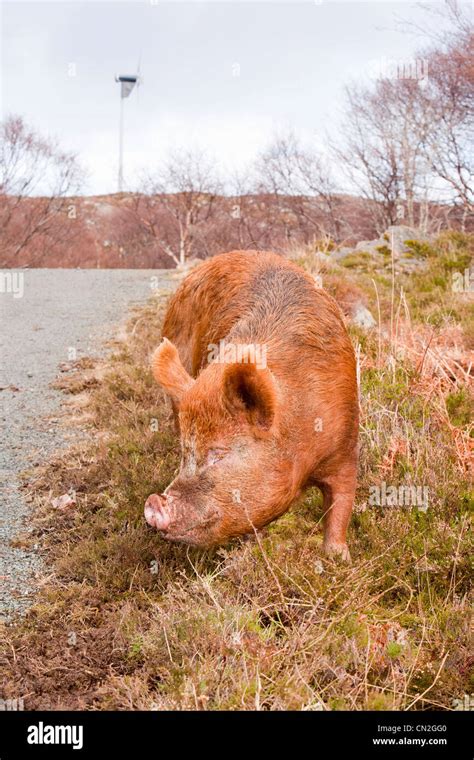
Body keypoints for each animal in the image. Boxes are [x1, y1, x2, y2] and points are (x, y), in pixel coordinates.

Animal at [145, 250, 358, 560]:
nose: (153, 504)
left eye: (219, 453)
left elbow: (340, 504)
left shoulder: (346, 447)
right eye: (186, 452)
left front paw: (337, 558)